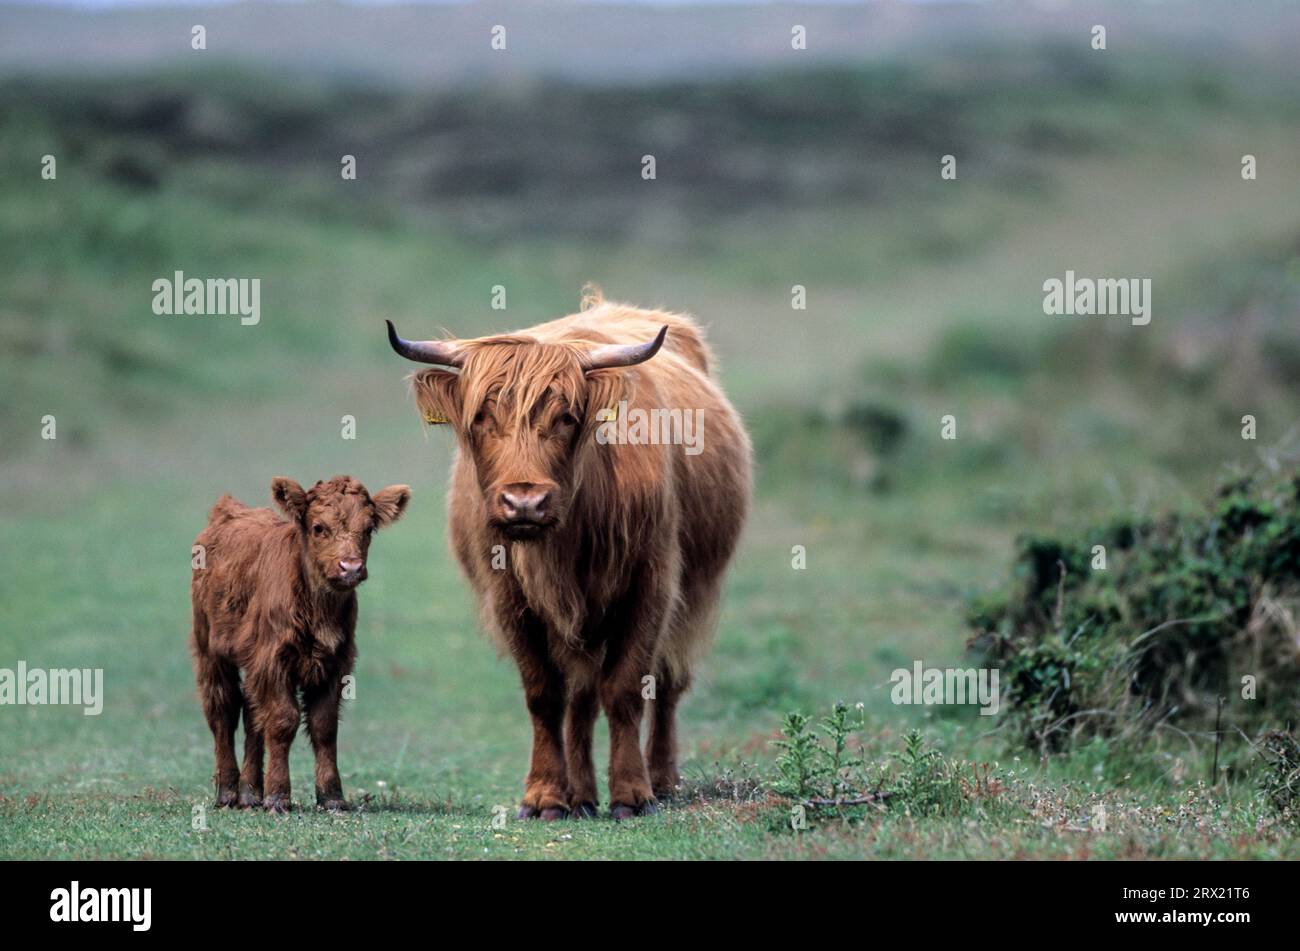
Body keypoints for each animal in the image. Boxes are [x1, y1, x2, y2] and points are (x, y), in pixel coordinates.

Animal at [190, 476, 411, 812]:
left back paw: (250, 793)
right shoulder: (273, 661)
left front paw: (332, 797)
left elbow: (323, 725)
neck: (319, 611)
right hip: (210, 651)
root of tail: (229, 511)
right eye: (319, 527)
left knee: (252, 714)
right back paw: (227, 792)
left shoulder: (336, 664)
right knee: (223, 710)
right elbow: (284, 720)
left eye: (369, 528)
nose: (350, 567)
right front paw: (278, 796)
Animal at [387, 289, 751, 820]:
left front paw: (632, 794)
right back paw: (579, 794)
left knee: (666, 681)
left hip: (693, 594)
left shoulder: (652, 584)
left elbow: (626, 686)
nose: (524, 502)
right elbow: (544, 693)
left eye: (566, 418)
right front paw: (544, 796)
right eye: (481, 417)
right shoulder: (510, 598)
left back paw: (662, 781)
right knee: (581, 696)